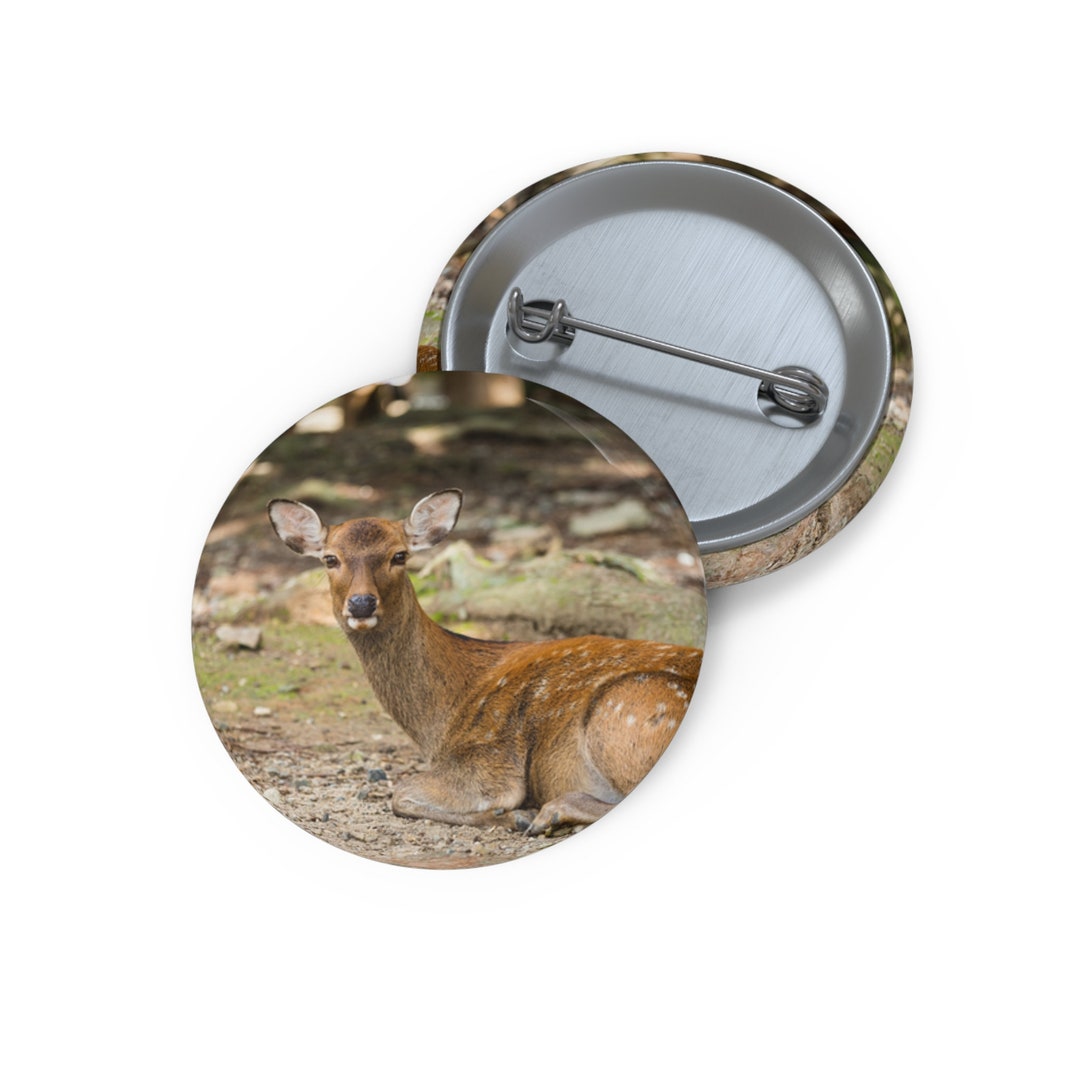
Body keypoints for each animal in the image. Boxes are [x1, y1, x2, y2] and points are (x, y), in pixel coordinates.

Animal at [268, 490, 703, 836]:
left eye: (399, 555)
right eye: (330, 559)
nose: (361, 603)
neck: (439, 721)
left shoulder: (491, 758)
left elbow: (400, 794)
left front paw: (513, 815)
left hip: (626, 704)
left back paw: (546, 813)